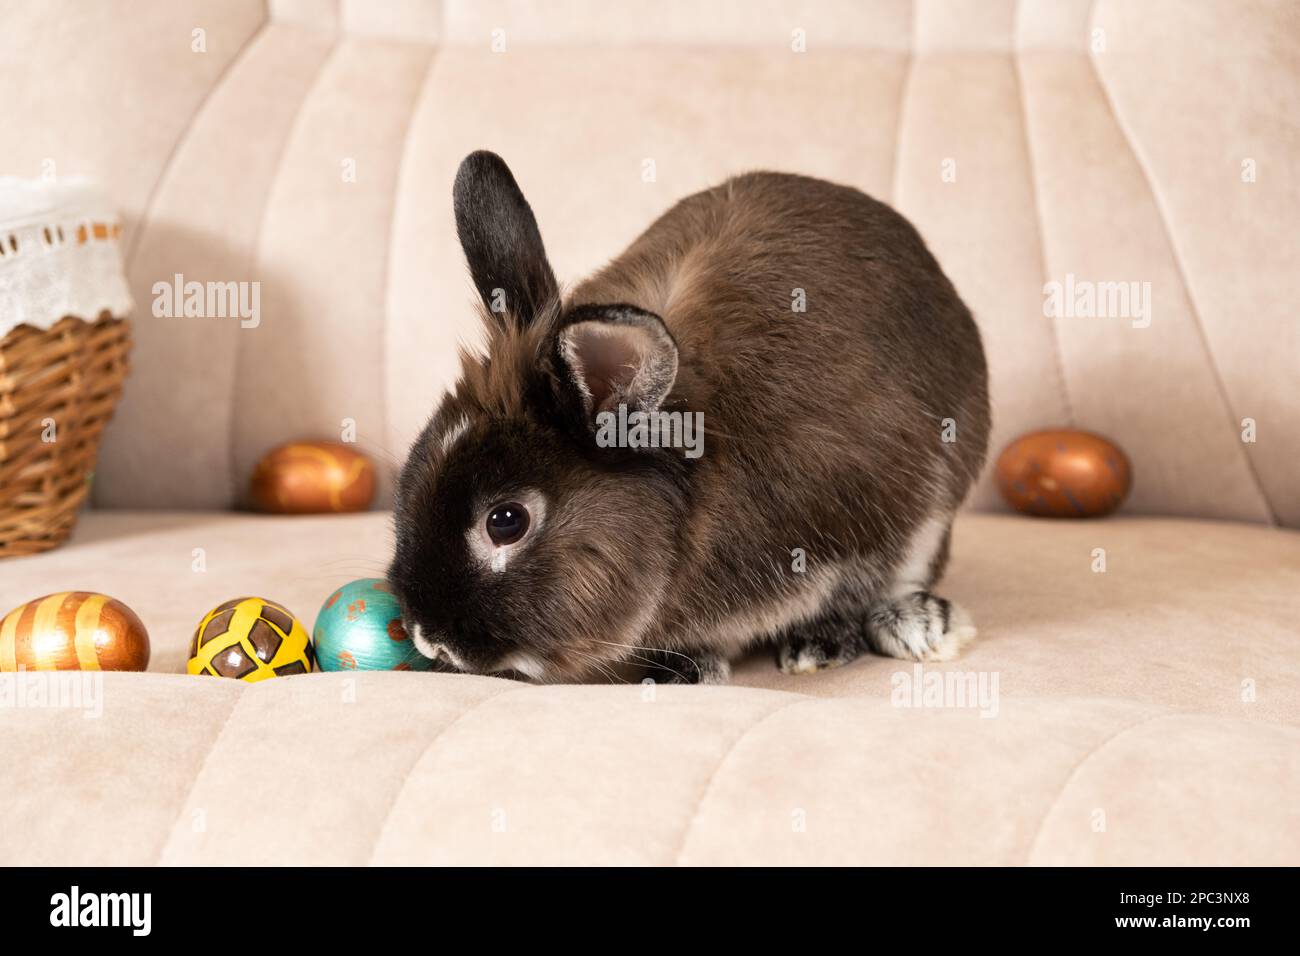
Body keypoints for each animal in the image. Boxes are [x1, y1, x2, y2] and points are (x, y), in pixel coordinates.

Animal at [388, 151, 990, 684]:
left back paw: (916, 624)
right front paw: (684, 668)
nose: (427, 637)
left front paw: (819, 644)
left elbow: (853, 587)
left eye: (506, 521)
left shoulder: (875, 520)